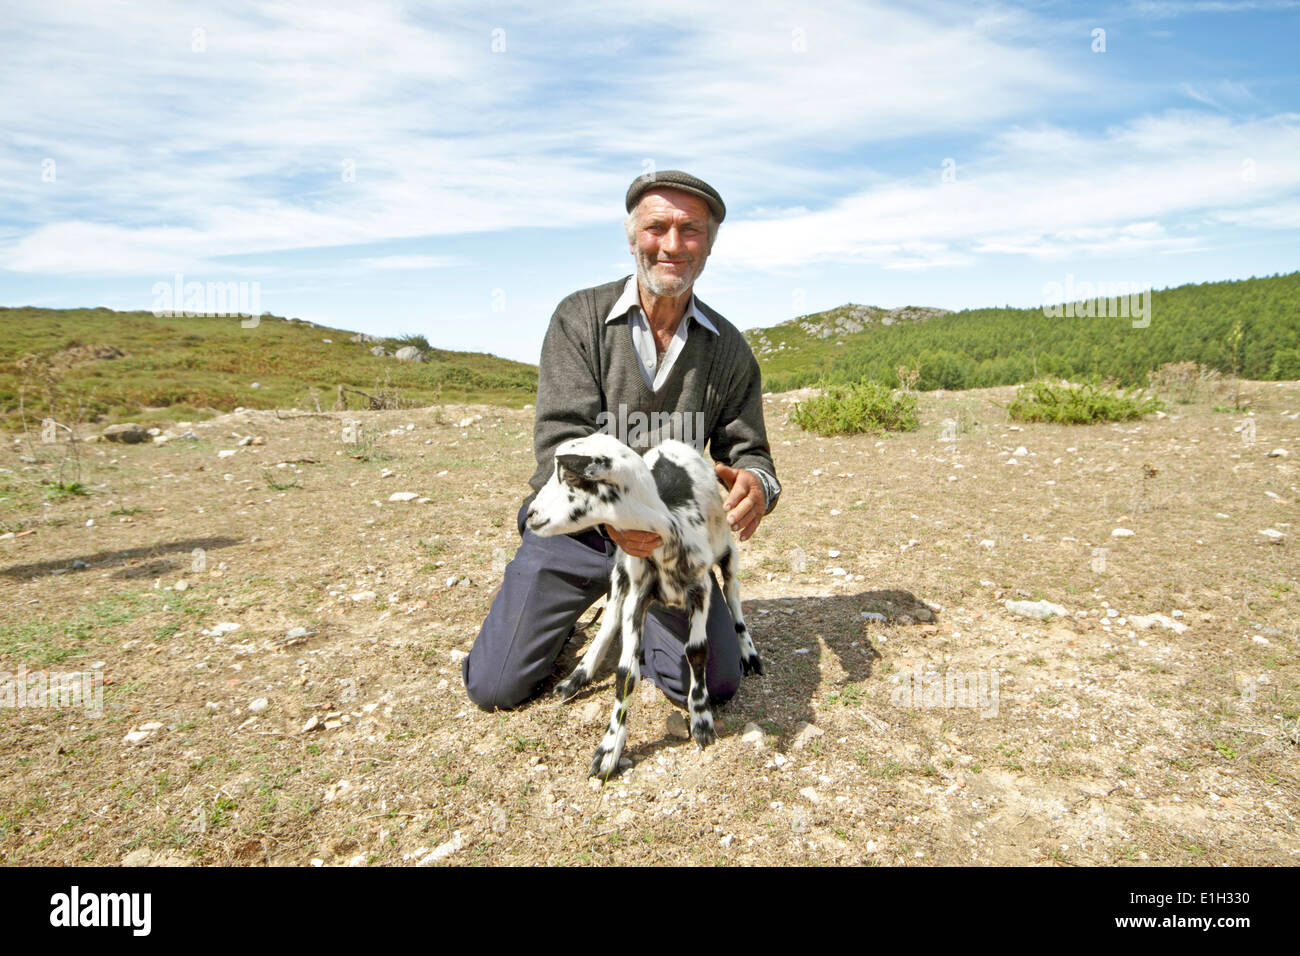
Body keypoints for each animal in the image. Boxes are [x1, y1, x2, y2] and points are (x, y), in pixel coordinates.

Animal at [525, 432, 763, 778]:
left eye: (571, 478)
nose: (531, 514)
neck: (670, 529)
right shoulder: (637, 592)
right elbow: (626, 673)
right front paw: (609, 750)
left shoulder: (701, 589)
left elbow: (698, 651)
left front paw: (701, 719)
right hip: (621, 572)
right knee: (609, 619)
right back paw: (576, 678)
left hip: (727, 551)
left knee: (732, 591)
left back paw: (749, 653)